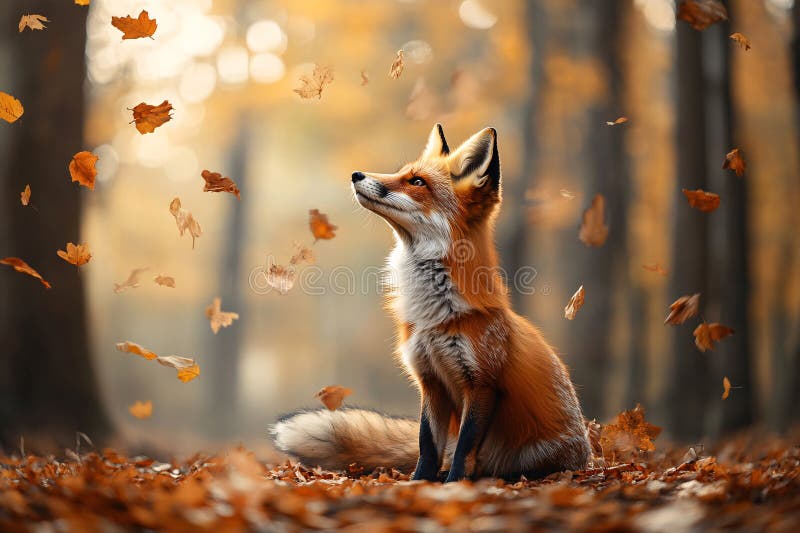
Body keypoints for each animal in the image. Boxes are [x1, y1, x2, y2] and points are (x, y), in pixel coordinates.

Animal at [272, 124, 592, 481]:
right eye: (402, 173)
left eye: (416, 182)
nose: (356, 174)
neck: (434, 317)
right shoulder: (430, 380)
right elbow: (427, 444)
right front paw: (419, 483)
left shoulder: (482, 384)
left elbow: (465, 446)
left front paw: (454, 483)